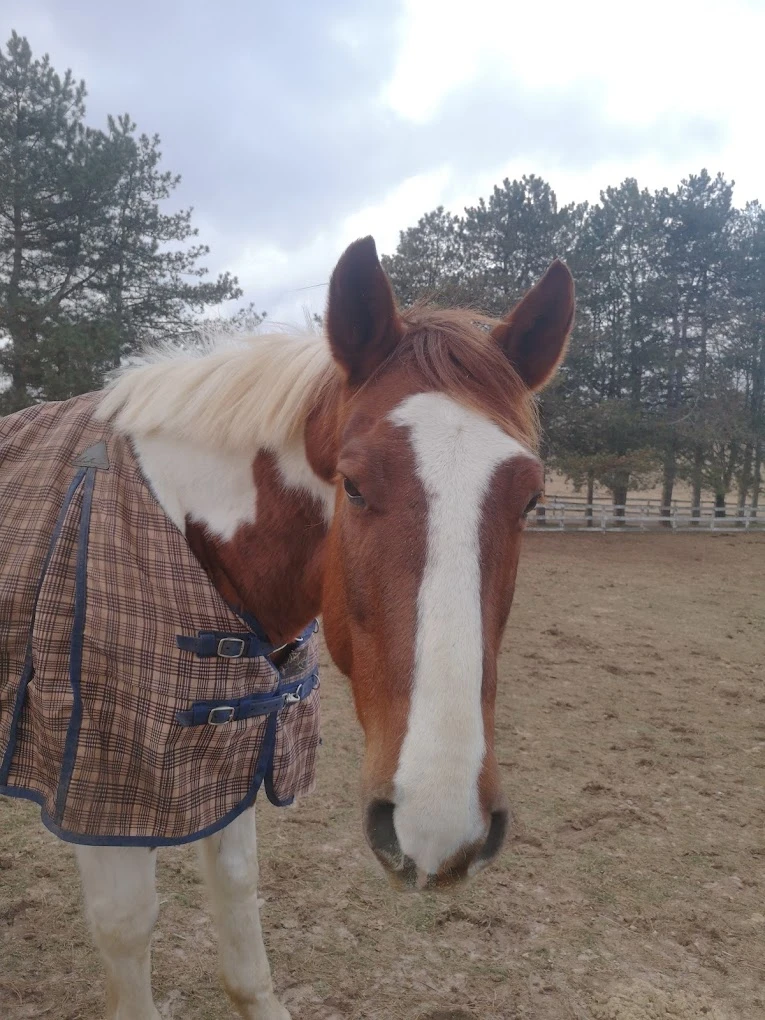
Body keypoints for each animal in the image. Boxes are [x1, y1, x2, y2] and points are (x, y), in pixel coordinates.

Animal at [0, 236, 574, 1019]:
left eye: (531, 500)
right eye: (353, 485)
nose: (437, 822)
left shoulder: (234, 750)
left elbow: (240, 897)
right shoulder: (94, 783)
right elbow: (126, 924)